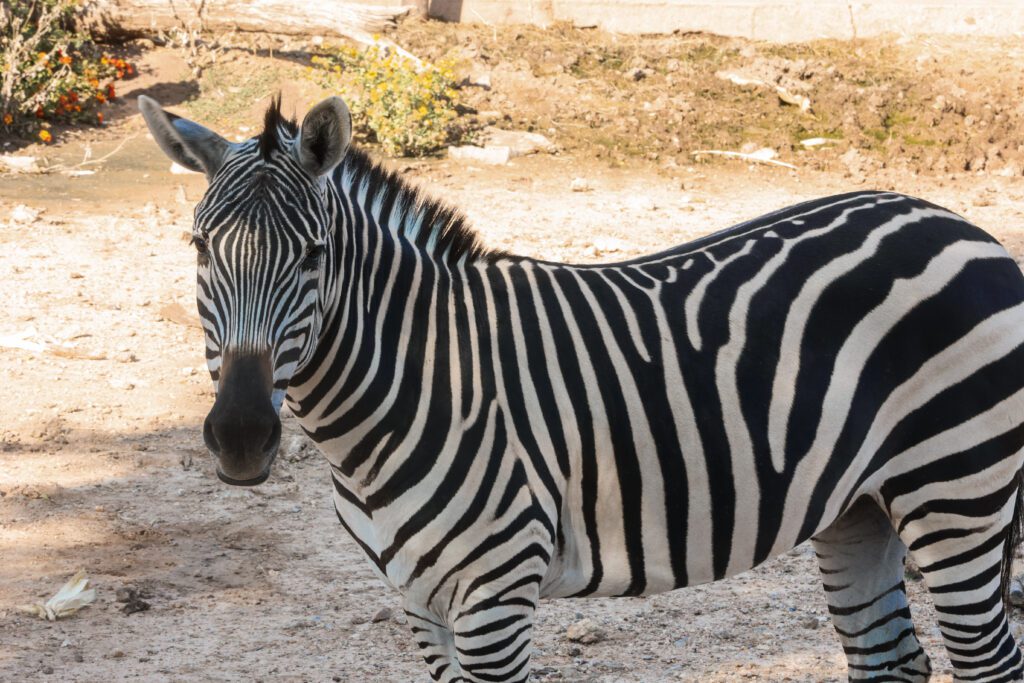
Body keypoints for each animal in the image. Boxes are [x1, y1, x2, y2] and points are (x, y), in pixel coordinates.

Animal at [139, 92, 1024, 683]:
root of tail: (959, 224)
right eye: (198, 246)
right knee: (893, 661)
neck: (421, 377)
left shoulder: (496, 596)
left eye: (314, 255)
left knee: (987, 658)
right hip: (858, 506)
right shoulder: (419, 603)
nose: (241, 438)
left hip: (958, 492)